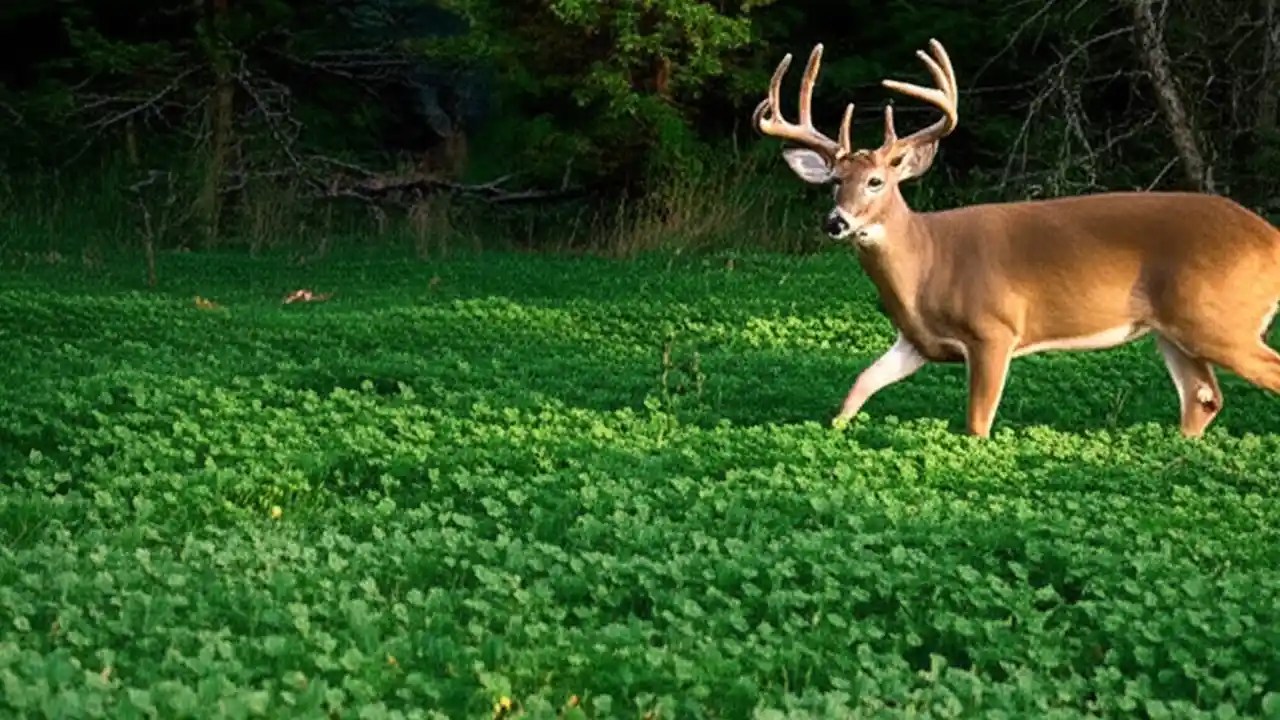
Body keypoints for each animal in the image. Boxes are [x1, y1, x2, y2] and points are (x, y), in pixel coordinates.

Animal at [753, 38, 1280, 438]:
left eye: (877, 181)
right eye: (834, 181)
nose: (836, 222)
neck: (925, 263)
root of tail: (1270, 237)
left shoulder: (994, 329)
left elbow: (977, 423)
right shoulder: (915, 341)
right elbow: (857, 388)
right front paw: (831, 430)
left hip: (1221, 318)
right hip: (1175, 329)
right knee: (1202, 399)